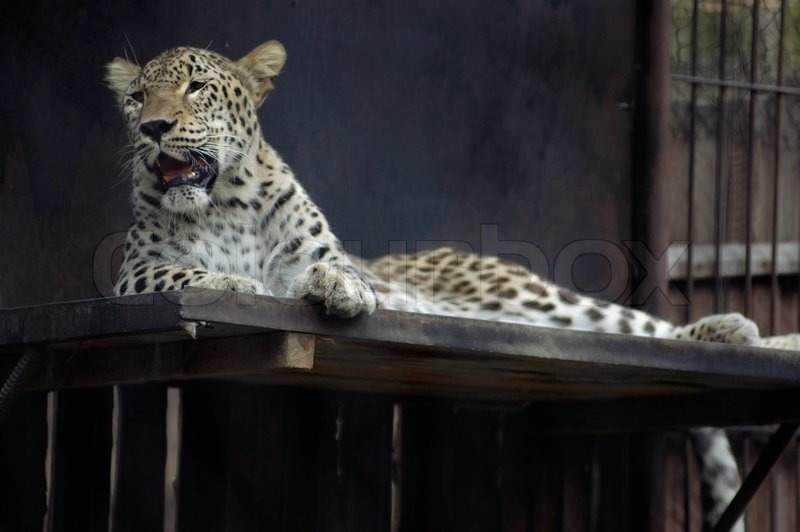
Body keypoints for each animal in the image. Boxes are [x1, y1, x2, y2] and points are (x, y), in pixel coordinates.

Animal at [106, 39, 799, 532]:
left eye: (195, 87)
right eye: (139, 97)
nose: (154, 128)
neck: (222, 203)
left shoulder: (322, 252)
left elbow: (334, 268)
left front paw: (341, 291)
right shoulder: (133, 275)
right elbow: (188, 271)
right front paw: (237, 284)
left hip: (529, 295)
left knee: (641, 326)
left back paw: (755, 334)